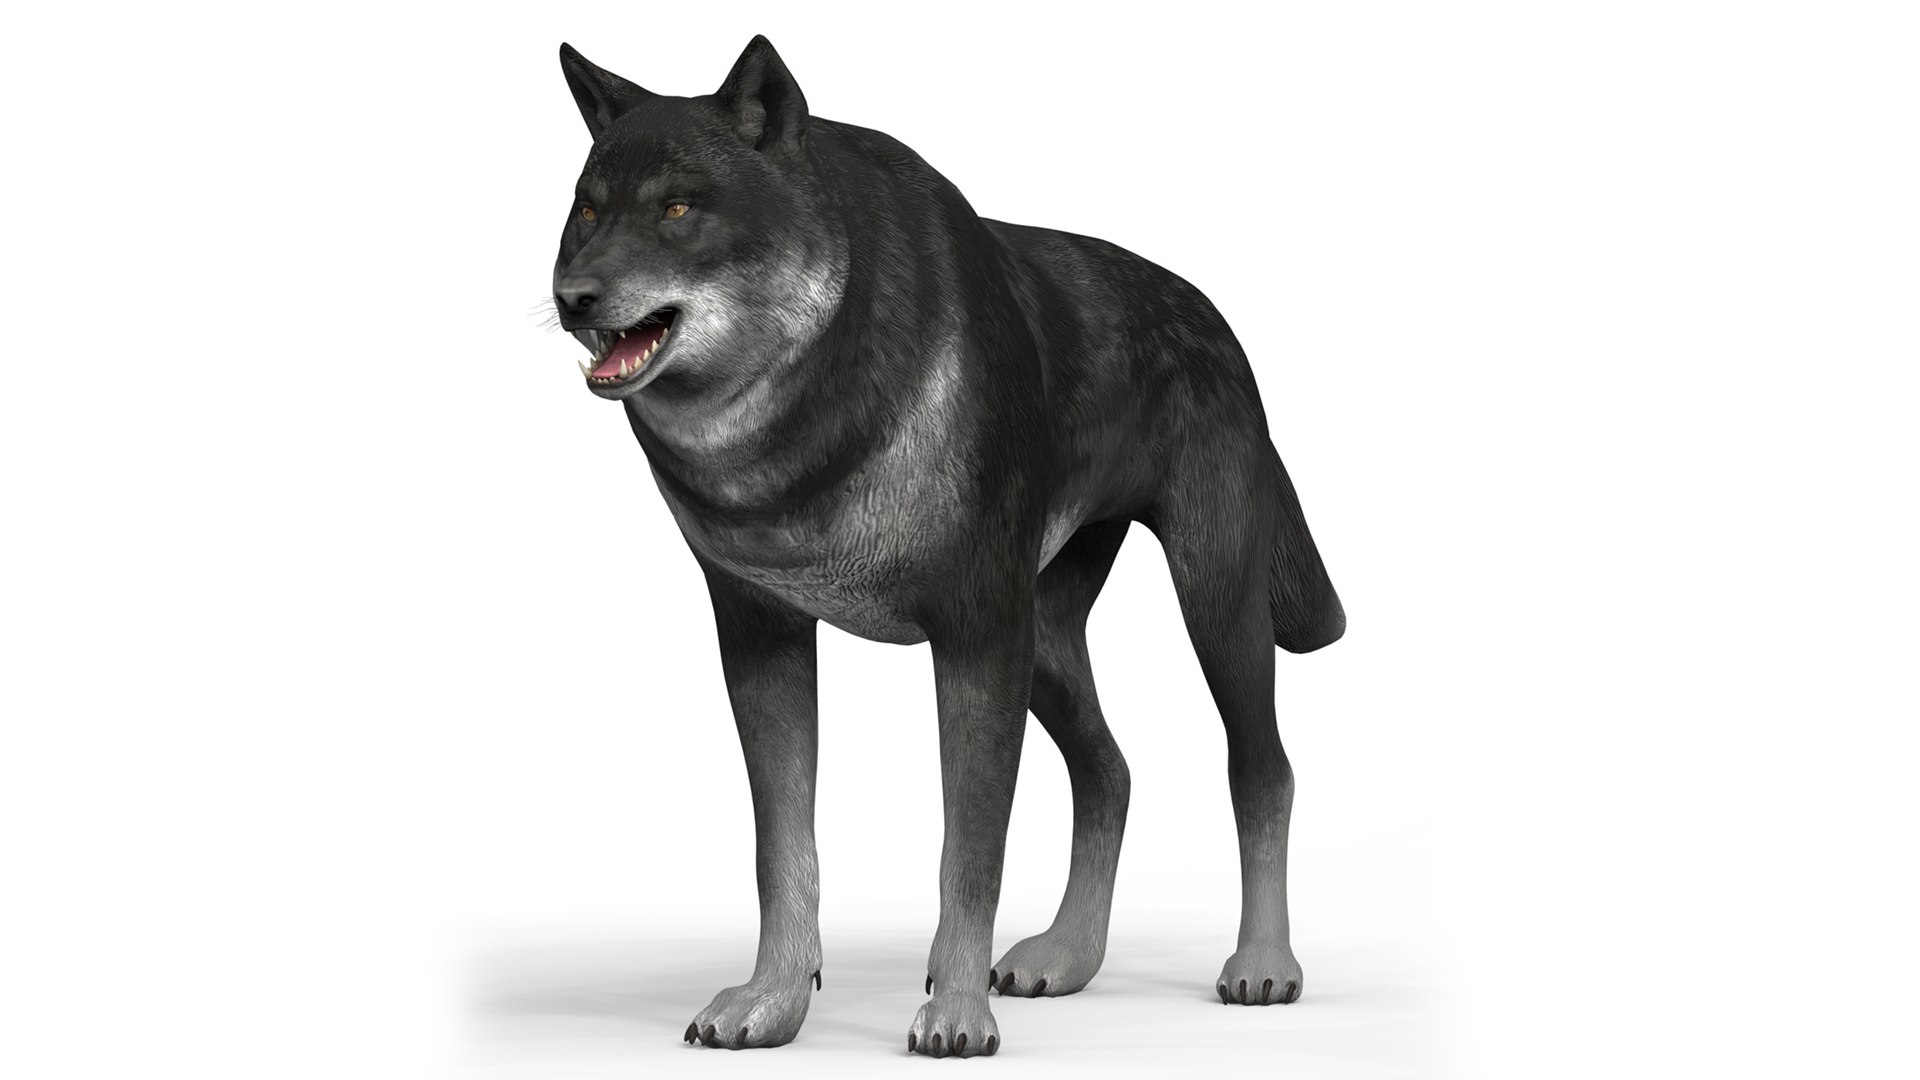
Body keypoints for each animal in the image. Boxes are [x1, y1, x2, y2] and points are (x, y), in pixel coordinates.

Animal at [549, 36, 1345, 1057]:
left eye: (678, 207)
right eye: (586, 209)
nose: (571, 298)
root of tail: (1216, 320)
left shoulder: (973, 638)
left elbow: (969, 850)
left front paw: (957, 1012)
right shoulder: (762, 636)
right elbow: (783, 845)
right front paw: (772, 999)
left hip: (1206, 606)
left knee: (1262, 769)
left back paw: (1263, 963)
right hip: (1044, 644)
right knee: (1111, 770)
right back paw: (1066, 956)